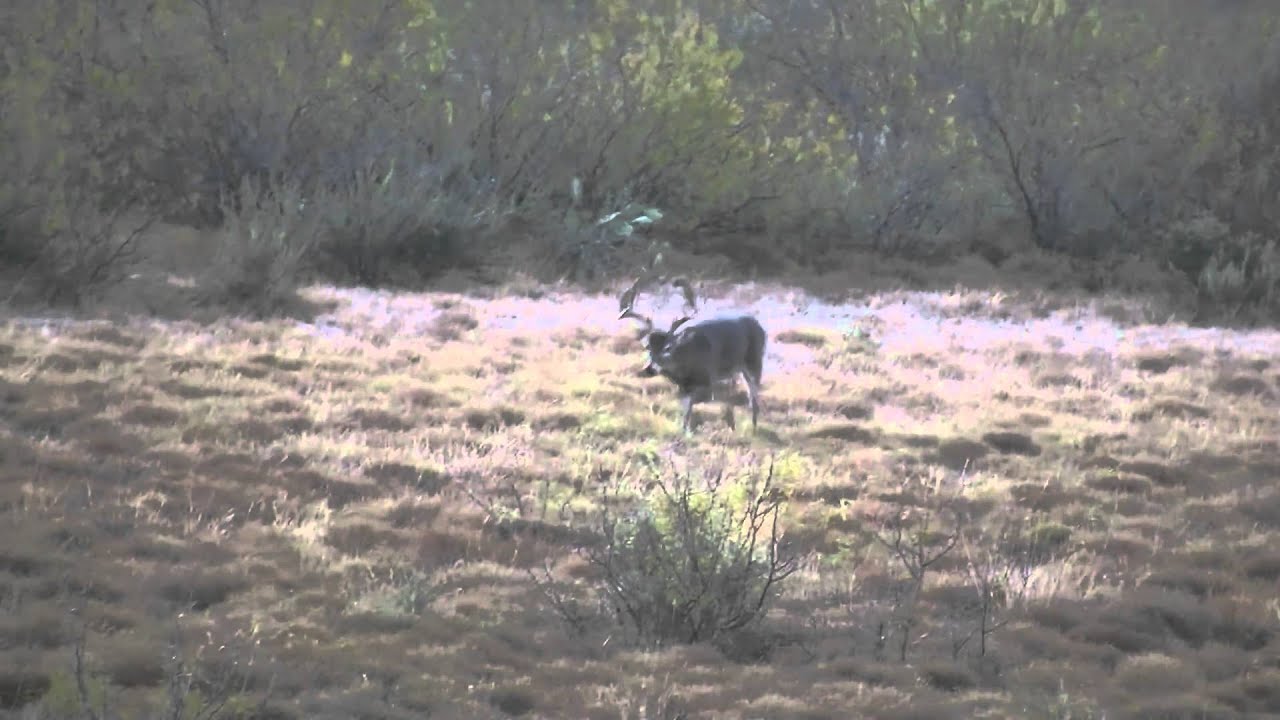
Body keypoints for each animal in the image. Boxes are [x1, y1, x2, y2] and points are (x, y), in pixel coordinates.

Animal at [618, 276, 766, 434]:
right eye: (648, 348)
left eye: (668, 348)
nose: (648, 370)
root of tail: (760, 327)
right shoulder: (684, 387)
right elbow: (686, 408)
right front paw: (684, 429)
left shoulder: (708, 377)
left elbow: (697, 403)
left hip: (755, 361)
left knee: (753, 394)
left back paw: (752, 426)